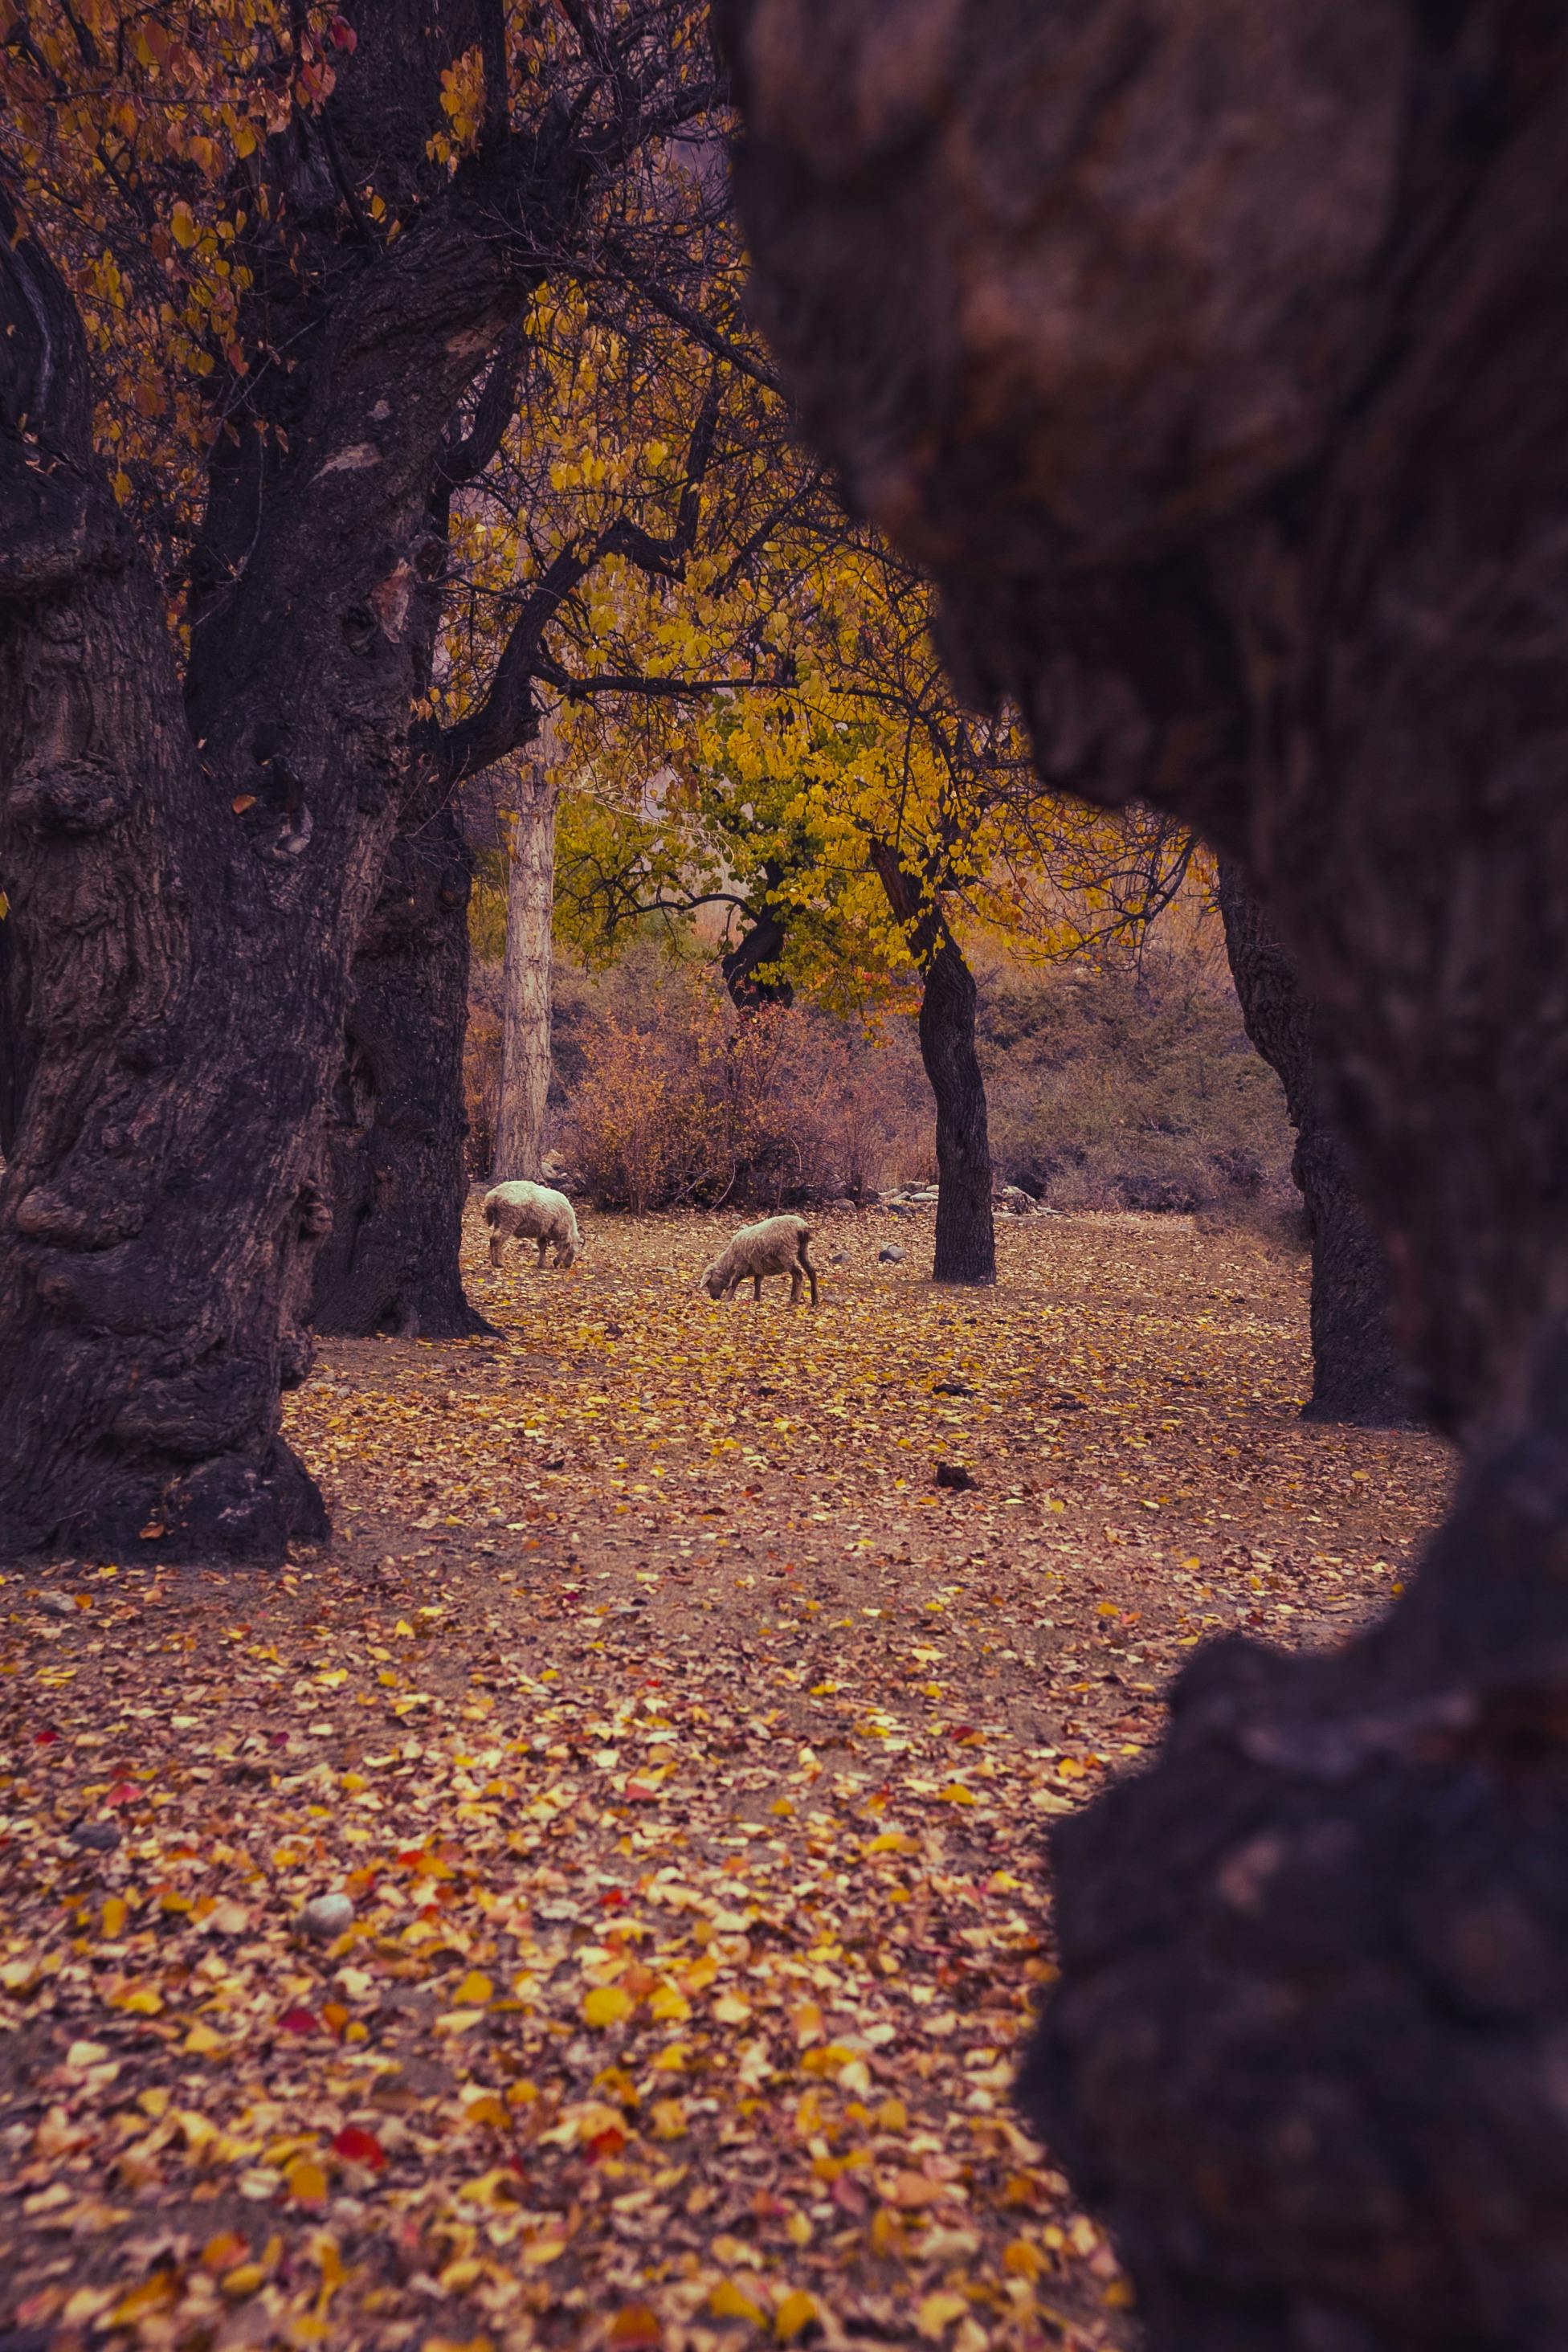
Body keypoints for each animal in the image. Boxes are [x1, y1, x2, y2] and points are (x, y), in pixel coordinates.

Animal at [699, 1214, 819, 1306]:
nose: (713, 1298)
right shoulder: (758, 1268)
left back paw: (794, 1300)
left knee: (798, 1274)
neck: (730, 1260)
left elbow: (735, 1282)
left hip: (786, 1253)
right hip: (803, 1250)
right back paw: (815, 1300)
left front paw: (727, 1299)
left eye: (709, 1283)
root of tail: (802, 1227)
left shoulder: (742, 1265)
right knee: (811, 1272)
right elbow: (757, 1283)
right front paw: (756, 1300)